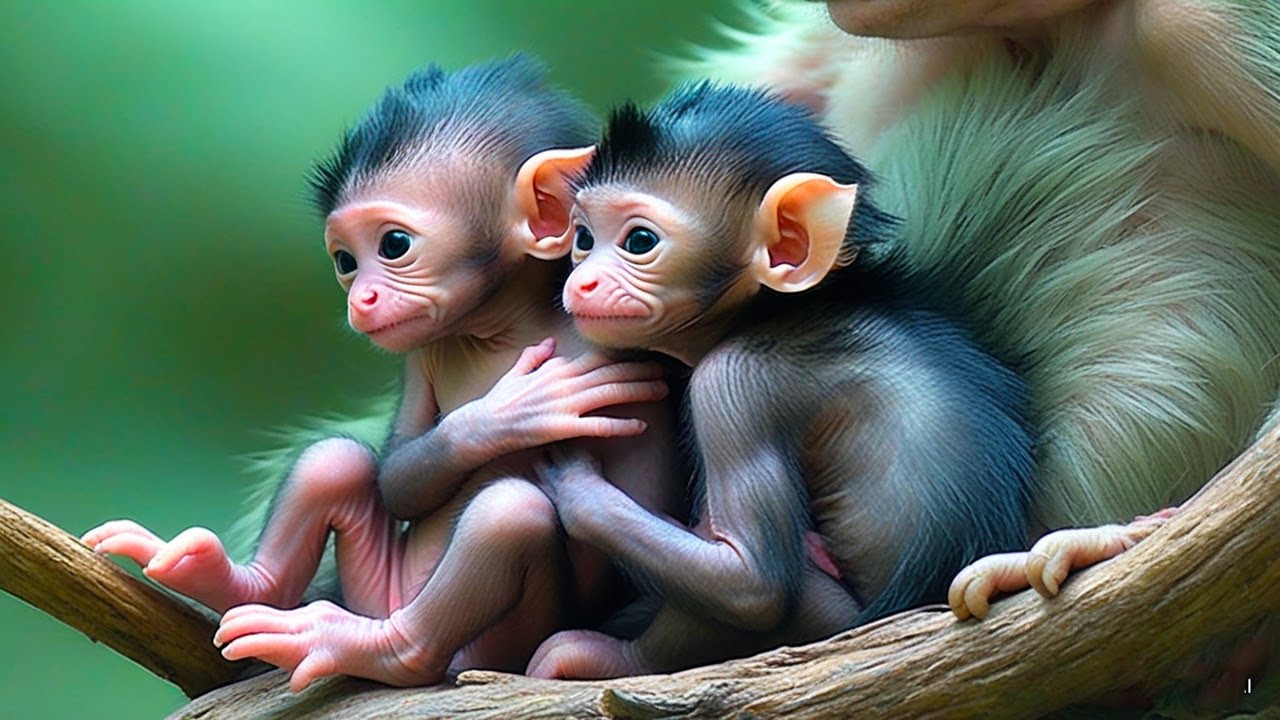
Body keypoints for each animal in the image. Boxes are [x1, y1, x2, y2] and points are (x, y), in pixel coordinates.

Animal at [80, 56, 683, 690]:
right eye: (346, 261)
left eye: (393, 245)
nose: (361, 299)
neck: (507, 323)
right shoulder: (420, 355)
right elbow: (397, 477)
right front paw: (509, 411)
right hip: (375, 587)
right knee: (335, 461)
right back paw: (229, 580)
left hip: (496, 643)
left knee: (508, 517)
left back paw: (367, 647)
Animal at [514, 82, 1034, 679]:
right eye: (582, 237)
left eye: (639, 241)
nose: (583, 281)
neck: (765, 311)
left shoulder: (732, 383)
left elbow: (751, 585)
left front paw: (573, 481)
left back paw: (606, 656)